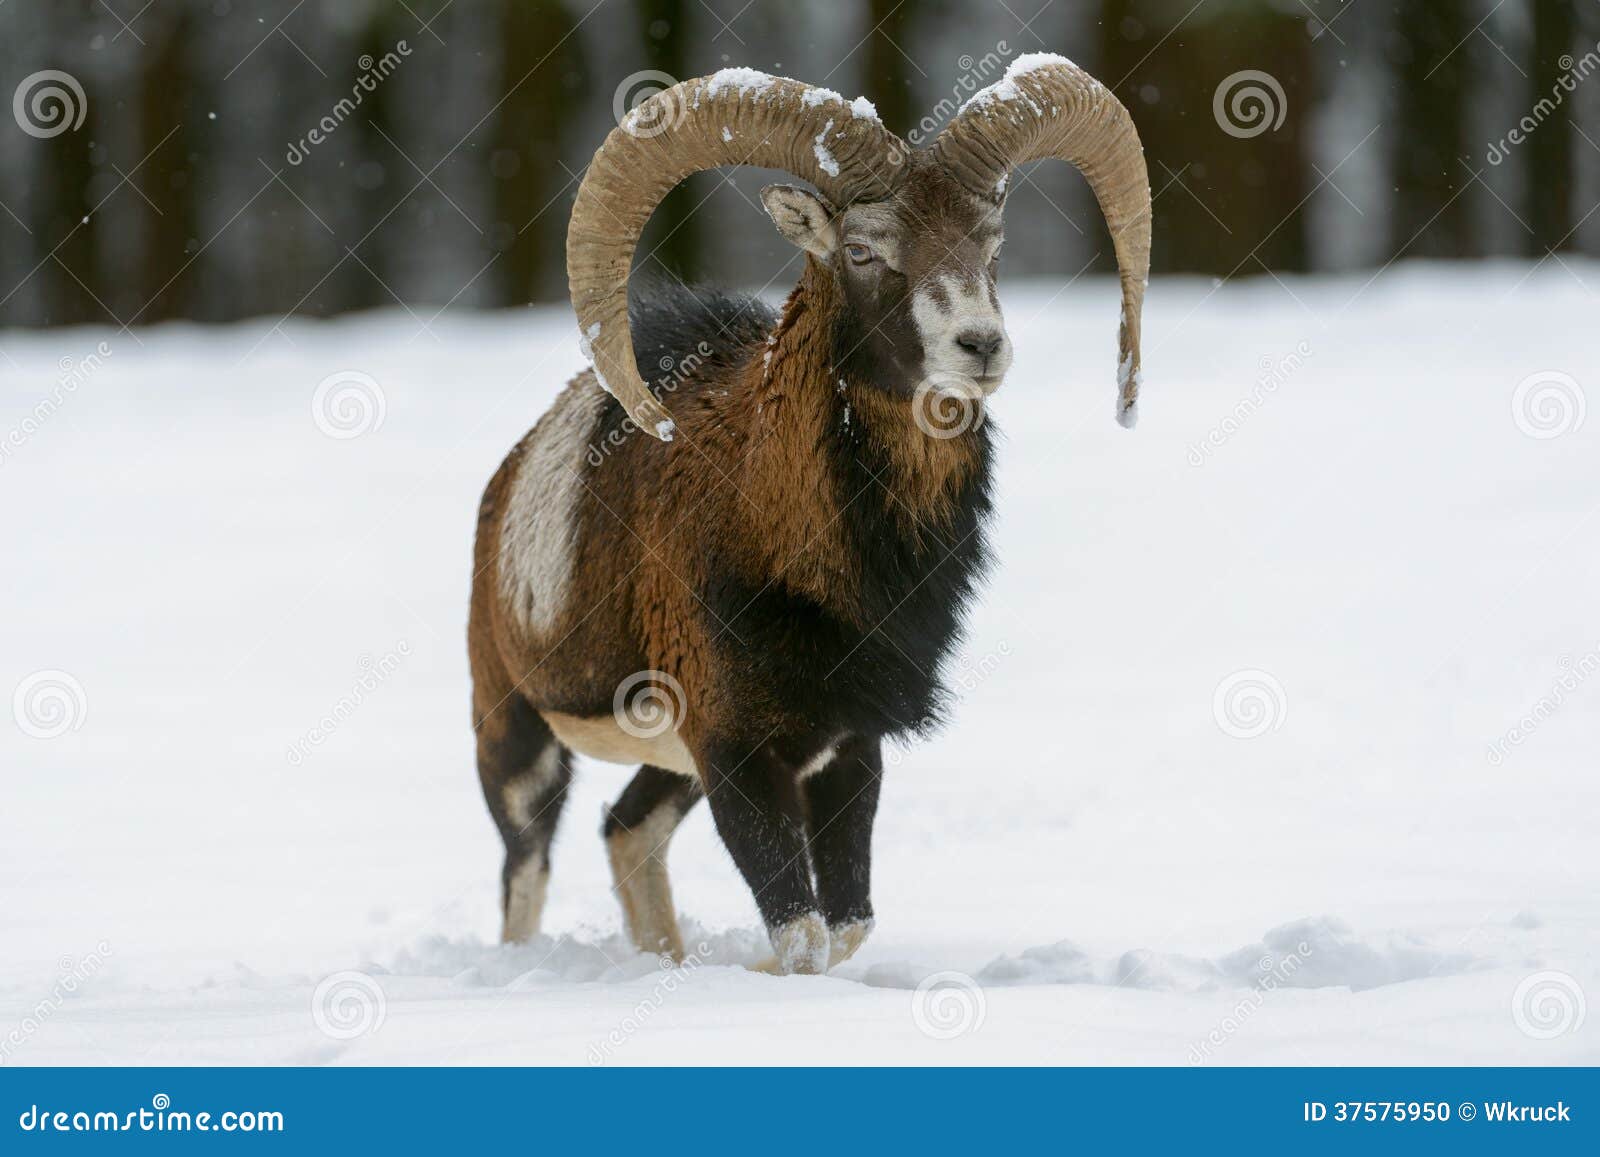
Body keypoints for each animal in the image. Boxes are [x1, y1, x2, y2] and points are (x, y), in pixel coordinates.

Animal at [468, 54, 1151, 974]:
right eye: (863, 251)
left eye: (992, 247)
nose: (980, 345)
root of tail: (504, 484)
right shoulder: (737, 754)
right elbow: (801, 935)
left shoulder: (844, 753)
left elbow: (847, 926)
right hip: (515, 741)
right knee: (527, 868)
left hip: (670, 771)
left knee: (626, 832)